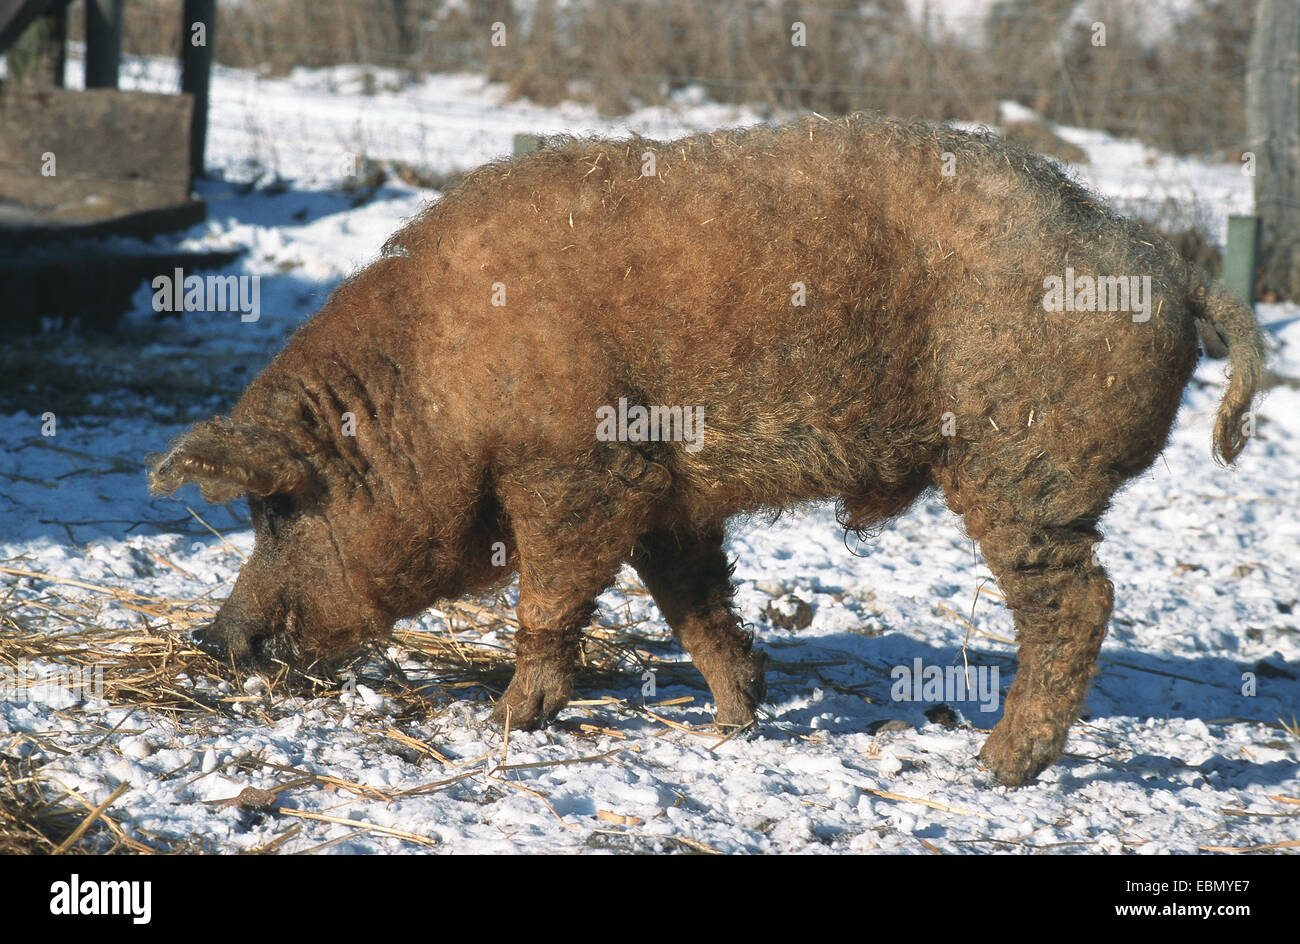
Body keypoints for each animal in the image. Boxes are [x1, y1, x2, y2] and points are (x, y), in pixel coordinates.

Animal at [149, 114, 1264, 786]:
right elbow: (694, 601)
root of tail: (1170, 273)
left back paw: (996, 766)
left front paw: (510, 719)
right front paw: (736, 719)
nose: (216, 637)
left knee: (1080, 600)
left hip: (1020, 467)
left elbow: (552, 596)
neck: (434, 390)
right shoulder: (665, 495)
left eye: (281, 509)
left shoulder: (578, 472)